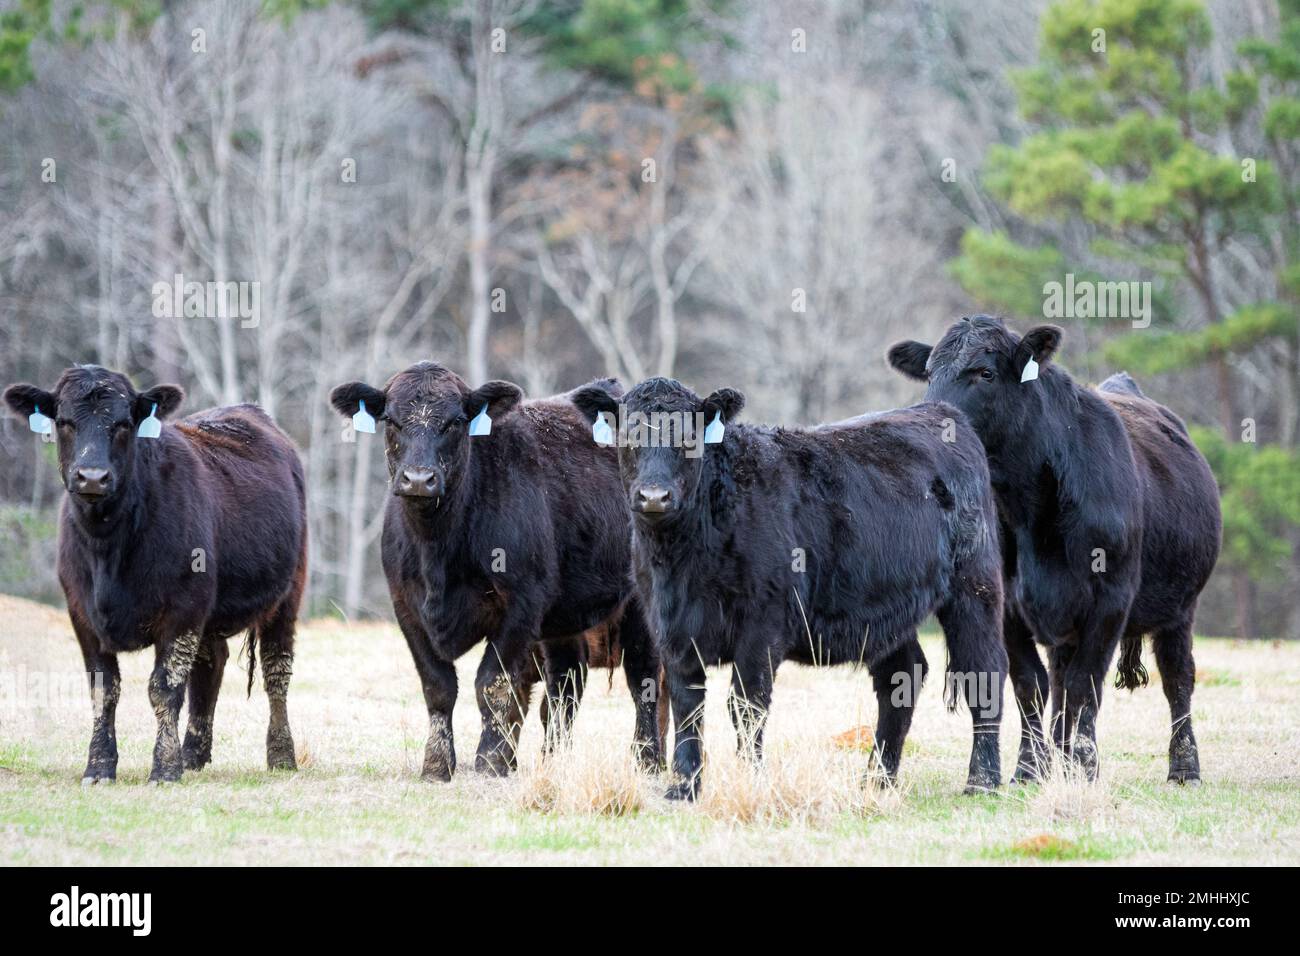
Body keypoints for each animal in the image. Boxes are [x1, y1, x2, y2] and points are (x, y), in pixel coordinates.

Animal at [3, 366, 307, 784]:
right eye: (64, 421)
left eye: (124, 423)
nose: (92, 477)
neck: (108, 546)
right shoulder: (81, 612)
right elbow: (104, 690)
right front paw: (99, 766)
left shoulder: (182, 610)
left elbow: (164, 687)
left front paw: (164, 767)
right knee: (211, 665)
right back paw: (193, 754)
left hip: (287, 594)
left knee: (276, 669)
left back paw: (281, 755)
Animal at [328, 363, 664, 780]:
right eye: (391, 420)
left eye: (455, 422)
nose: (419, 479)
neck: (437, 548)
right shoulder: (406, 608)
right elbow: (438, 686)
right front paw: (436, 764)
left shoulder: (521, 605)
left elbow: (494, 684)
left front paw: (491, 761)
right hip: (564, 621)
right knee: (565, 685)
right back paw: (554, 760)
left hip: (639, 606)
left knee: (643, 678)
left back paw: (648, 760)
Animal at [570, 377, 1008, 800]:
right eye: (628, 433)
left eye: (689, 437)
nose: (654, 496)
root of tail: (936, 410)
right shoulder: (672, 629)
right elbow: (686, 704)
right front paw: (683, 785)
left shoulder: (762, 627)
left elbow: (747, 705)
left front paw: (749, 780)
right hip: (888, 610)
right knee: (901, 677)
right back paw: (877, 779)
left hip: (975, 588)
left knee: (983, 671)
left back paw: (982, 779)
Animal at [888, 316, 1221, 784]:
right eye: (930, 373)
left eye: (984, 373)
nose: (934, 421)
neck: (1029, 510)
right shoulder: (1009, 603)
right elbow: (1032, 684)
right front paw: (1030, 768)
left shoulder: (1111, 599)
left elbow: (1087, 682)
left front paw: (1084, 765)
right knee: (1061, 679)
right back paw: (1060, 754)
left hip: (1181, 606)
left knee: (1178, 676)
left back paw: (1184, 766)